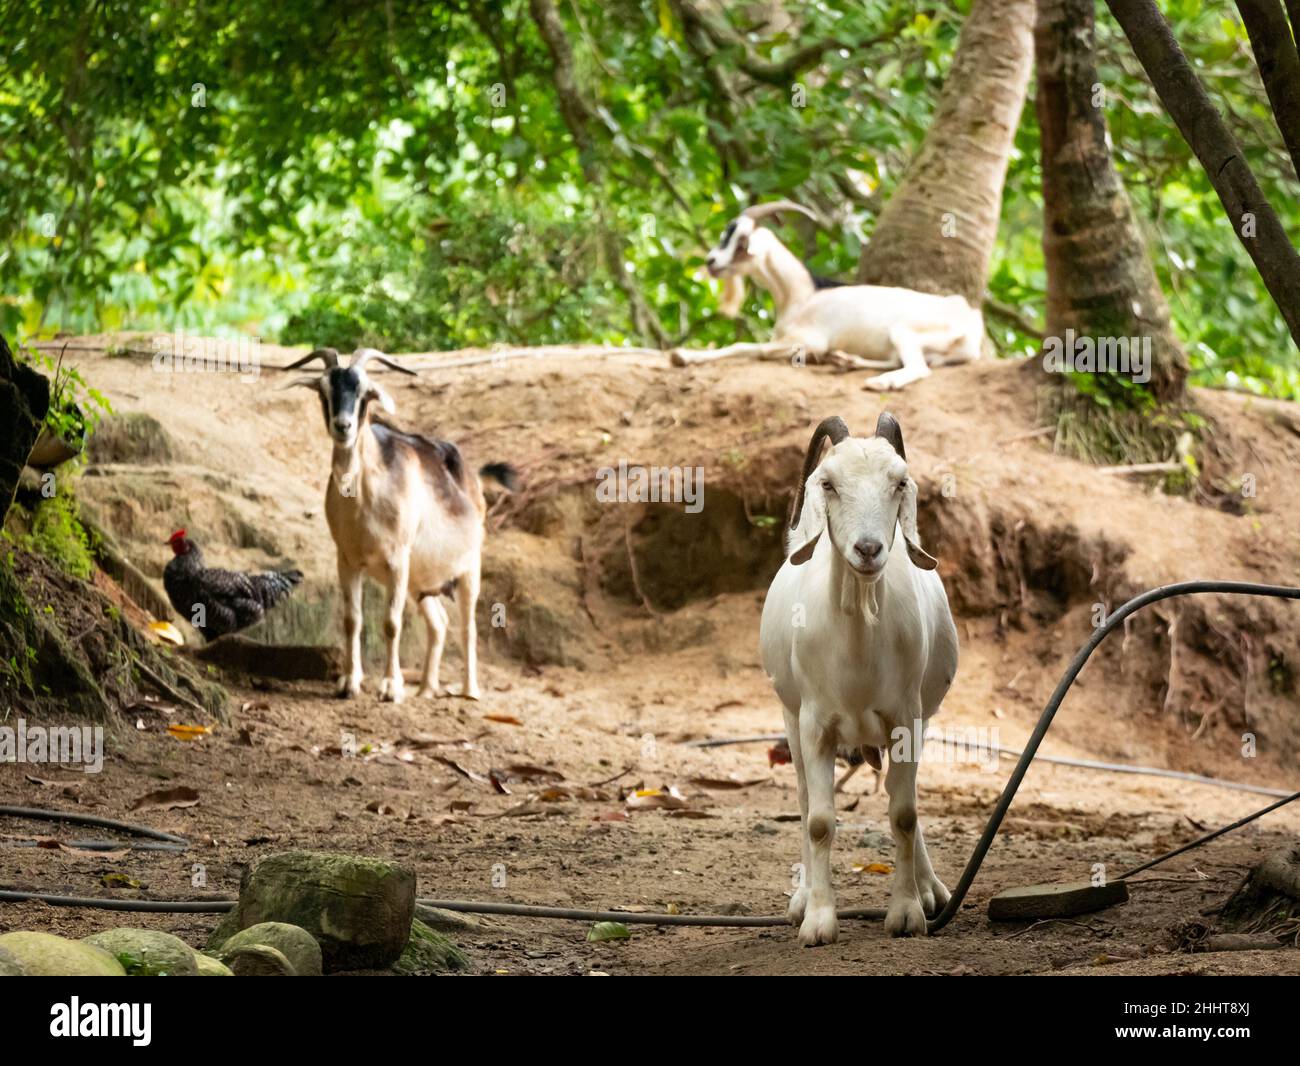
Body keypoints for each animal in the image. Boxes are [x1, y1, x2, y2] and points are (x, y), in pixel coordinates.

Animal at [282, 347, 516, 704]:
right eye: (324, 391)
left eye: (365, 393)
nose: (343, 426)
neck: (363, 497)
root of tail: (473, 478)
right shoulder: (347, 560)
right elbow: (352, 620)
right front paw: (349, 683)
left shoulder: (397, 559)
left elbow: (391, 623)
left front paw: (391, 687)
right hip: (420, 583)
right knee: (439, 623)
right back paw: (426, 688)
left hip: (468, 567)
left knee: (468, 626)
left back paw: (469, 690)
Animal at [676, 201, 984, 390]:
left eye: (740, 244)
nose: (711, 261)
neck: (802, 296)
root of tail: (971, 325)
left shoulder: (808, 341)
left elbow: (750, 348)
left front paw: (684, 356)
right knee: (900, 360)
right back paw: (847, 361)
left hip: (905, 331)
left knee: (918, 367)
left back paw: (881, 382)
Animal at [760, 412, 958, 943]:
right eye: (828, 483)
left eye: (900, 483)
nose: (868, 550)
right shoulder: (813, 723)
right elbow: (819, 820)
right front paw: (818, 921)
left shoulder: (907, 715)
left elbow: (904, 813)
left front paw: (908, 912)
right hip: (788, 715)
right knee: (804, 798)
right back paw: (802, 897)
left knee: (902, 796)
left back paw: (931, 890)